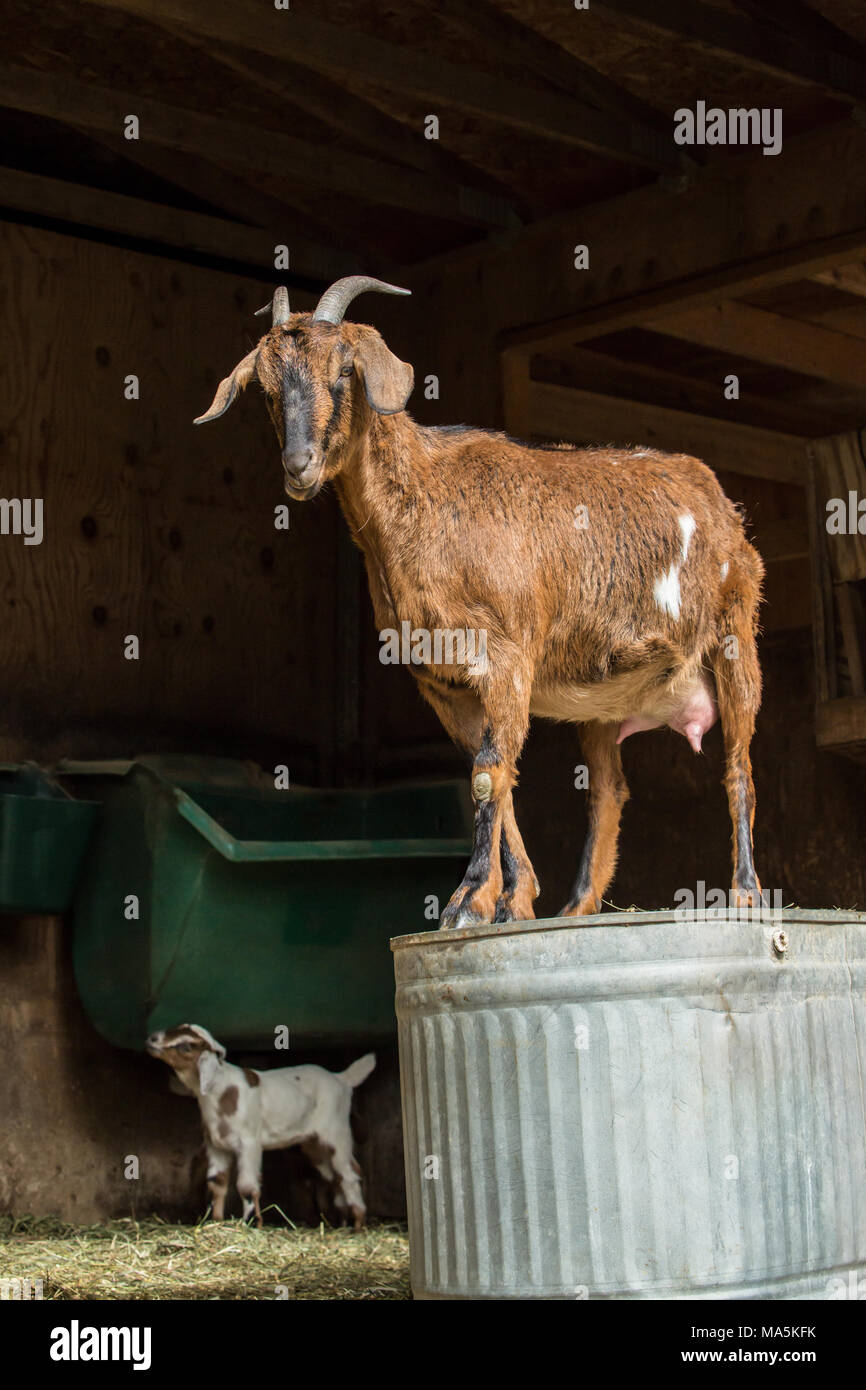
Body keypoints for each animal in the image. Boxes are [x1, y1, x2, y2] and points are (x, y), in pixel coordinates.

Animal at [147, 1024, 375, 1228]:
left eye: (185, 1046)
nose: (151, 1040)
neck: (222, 1091)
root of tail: (341, 1079)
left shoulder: (249, 1143)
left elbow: (246, 1186)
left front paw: (252, 1223)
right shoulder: (217, 1146)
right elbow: (216, 1182)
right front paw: (215, 1221)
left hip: (336, 1133)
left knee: (350, 1173)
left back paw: (358, 1224)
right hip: (314, 1145)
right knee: (334, 1176)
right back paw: (343, 1223)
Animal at [195, 277, 764, 926]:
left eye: (343, 371)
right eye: (265, 389)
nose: (299, 466)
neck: (421, 504)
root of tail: (720, 502)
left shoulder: (508, 655)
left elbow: (490, 773)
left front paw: (468, 900)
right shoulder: (442, 682)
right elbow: (494, 772)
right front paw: (511, 901)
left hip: (735, 635)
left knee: (738, 766)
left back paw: (746, 892)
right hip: (603, 694)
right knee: (608, 789)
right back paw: (577, 907)